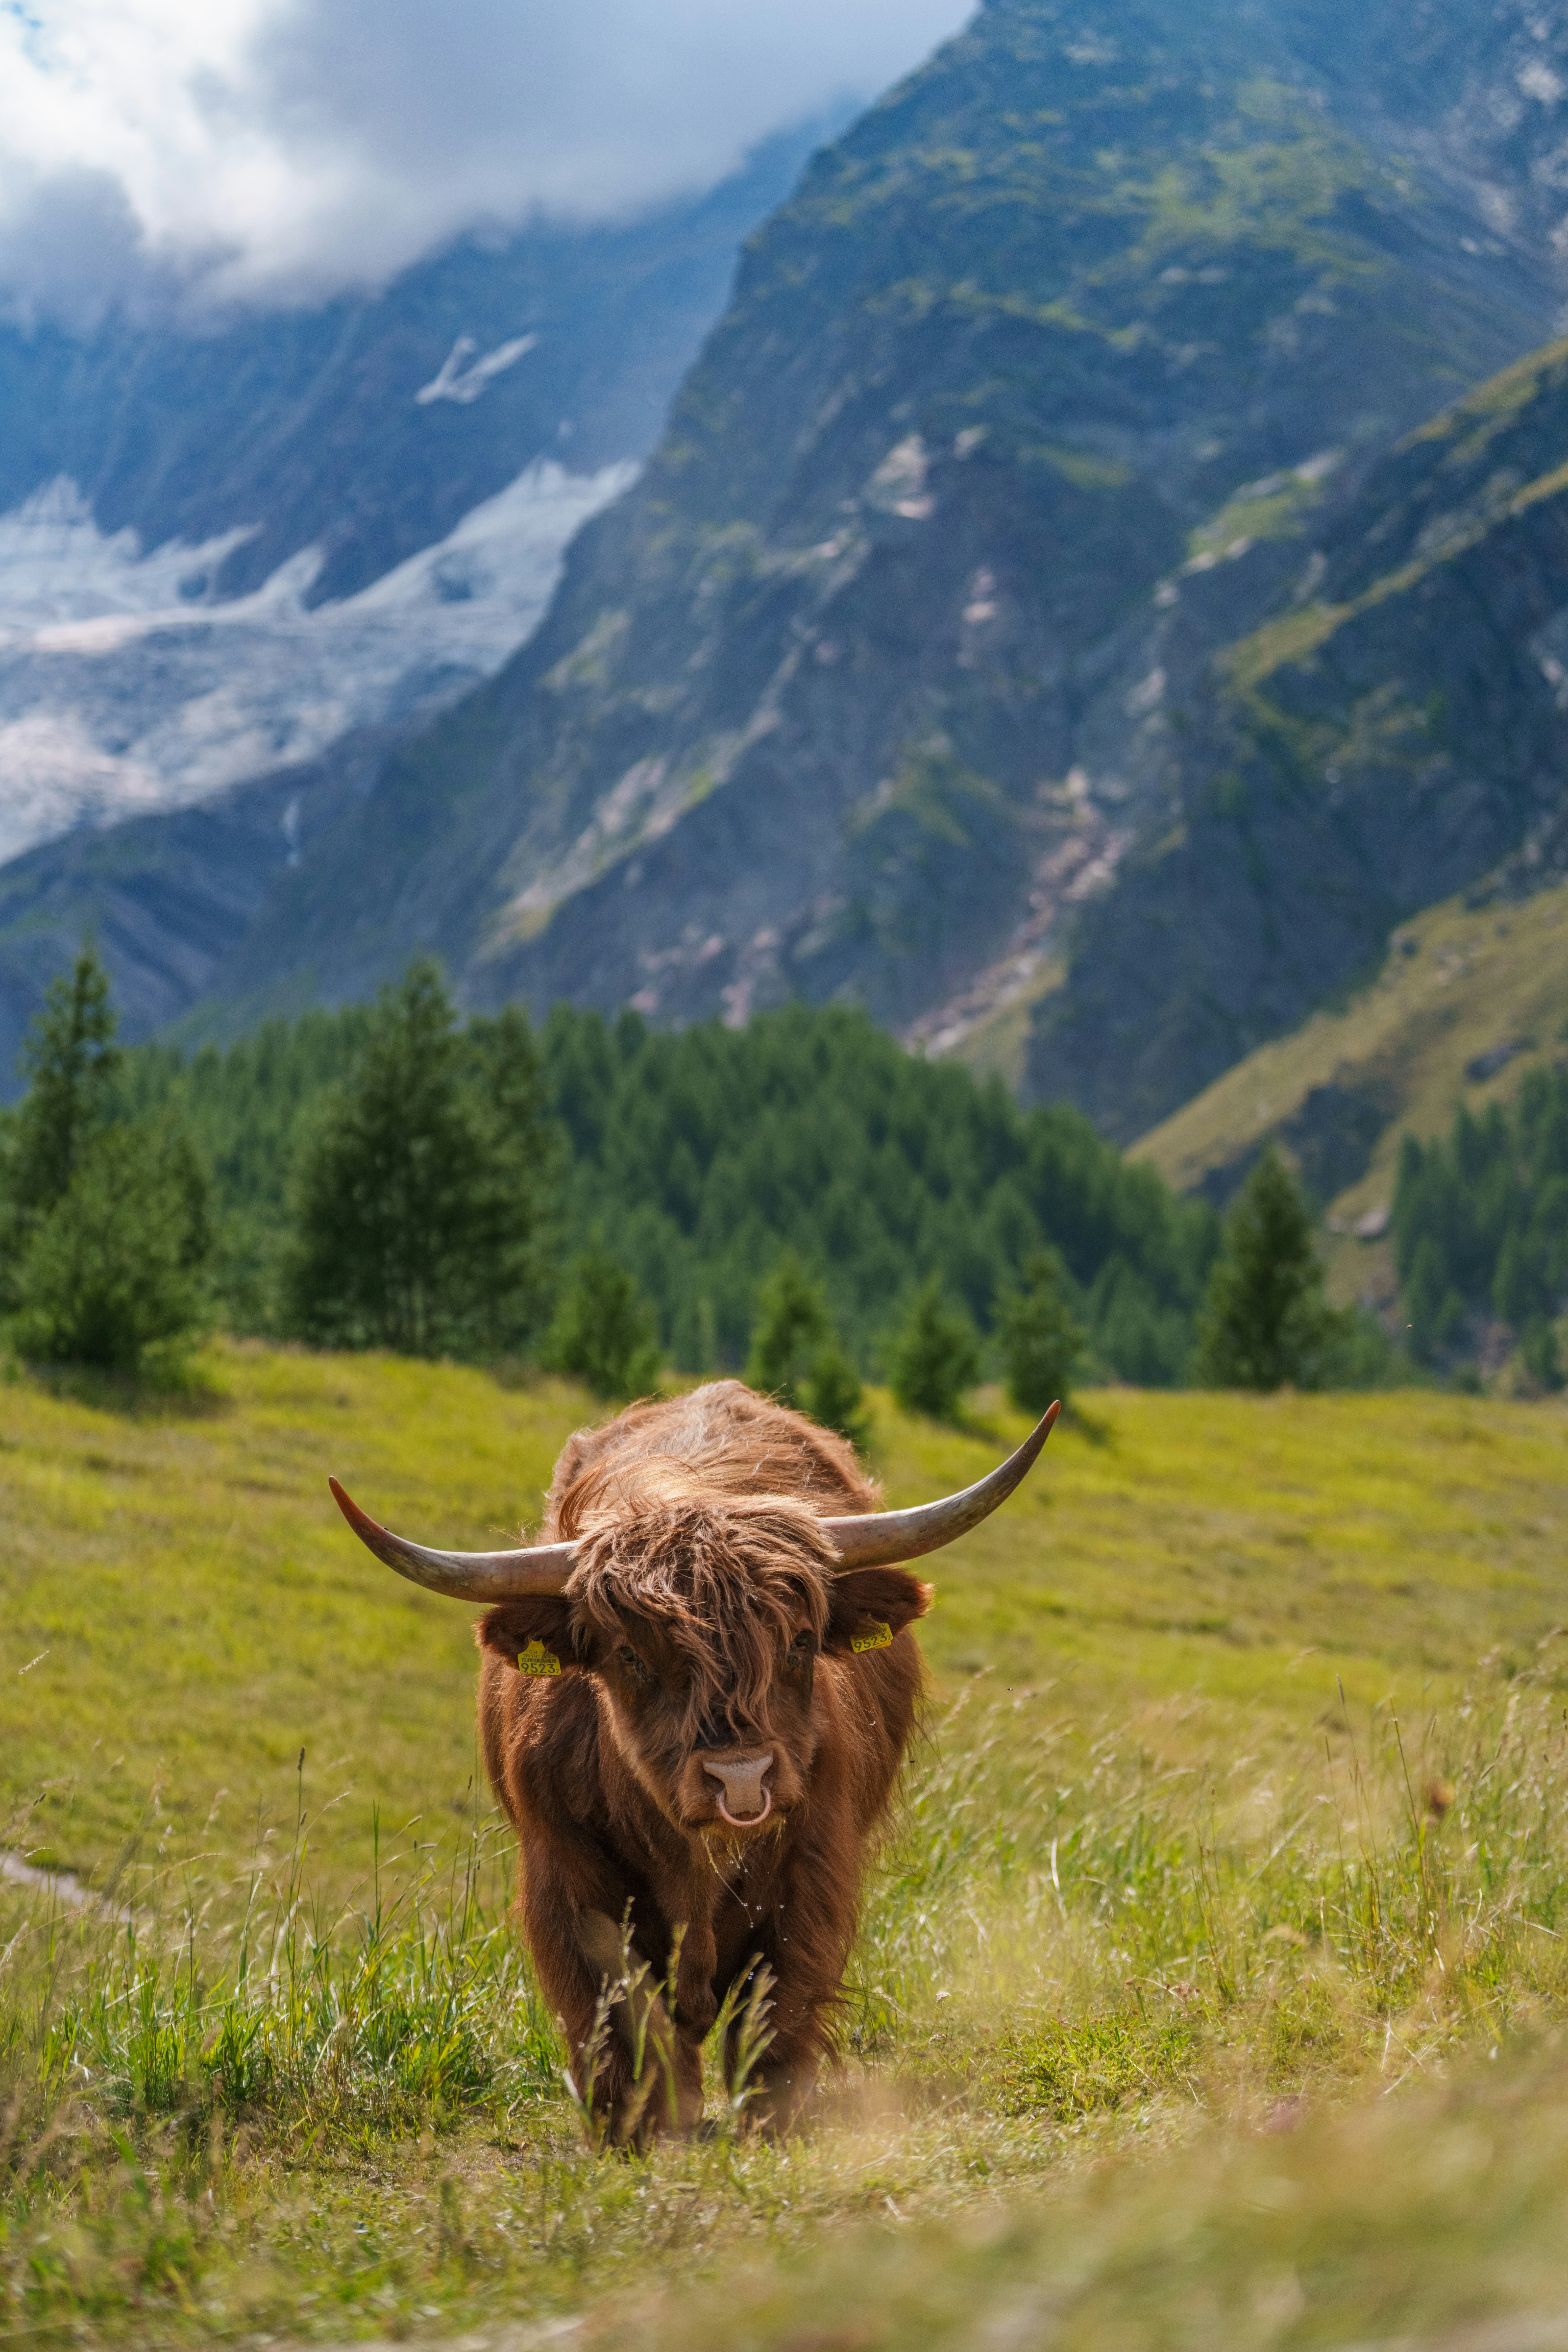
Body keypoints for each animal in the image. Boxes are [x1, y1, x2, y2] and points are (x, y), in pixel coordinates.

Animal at [329, 1378, 1057, 2143]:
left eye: (800, 1643)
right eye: (630, 1656)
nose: (740, 1779)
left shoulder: (816, 1863)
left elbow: (778, 2002)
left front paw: (771, 2118)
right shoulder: (564, 1872)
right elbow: (619, 2007)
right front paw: (636, 2122)